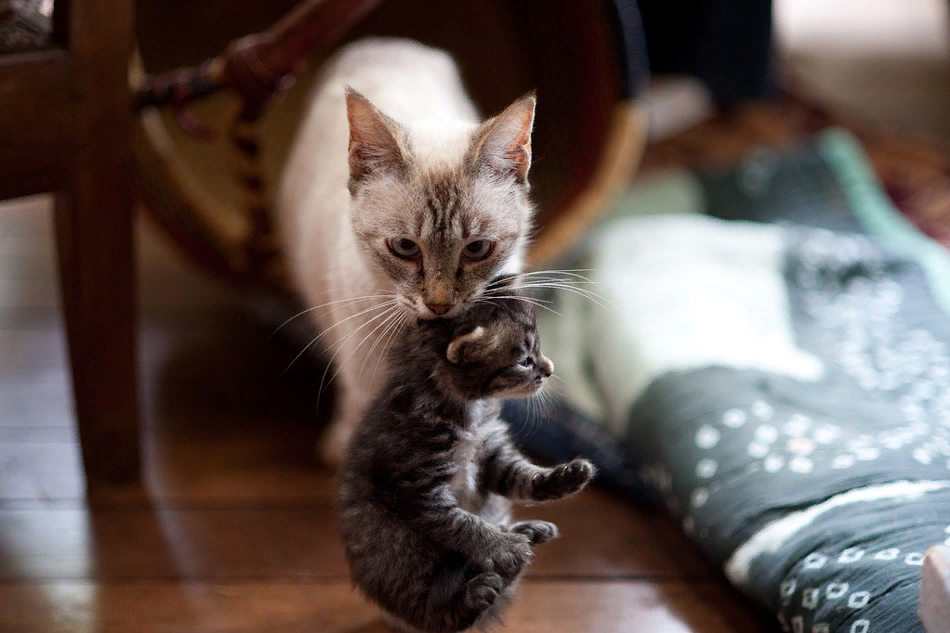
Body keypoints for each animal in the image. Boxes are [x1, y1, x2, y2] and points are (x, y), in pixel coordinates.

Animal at [340, 284, 596, 632]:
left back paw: (526, 533)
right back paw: (479, 588)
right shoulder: (417, 485)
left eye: (538, 352)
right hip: (397, 549)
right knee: (432, 611)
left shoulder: (493, 455)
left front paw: (565, 477)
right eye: (525, 360)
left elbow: (523, 477)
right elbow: (461, 523)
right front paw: (501, 546)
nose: (550, 369)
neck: (468, 410)